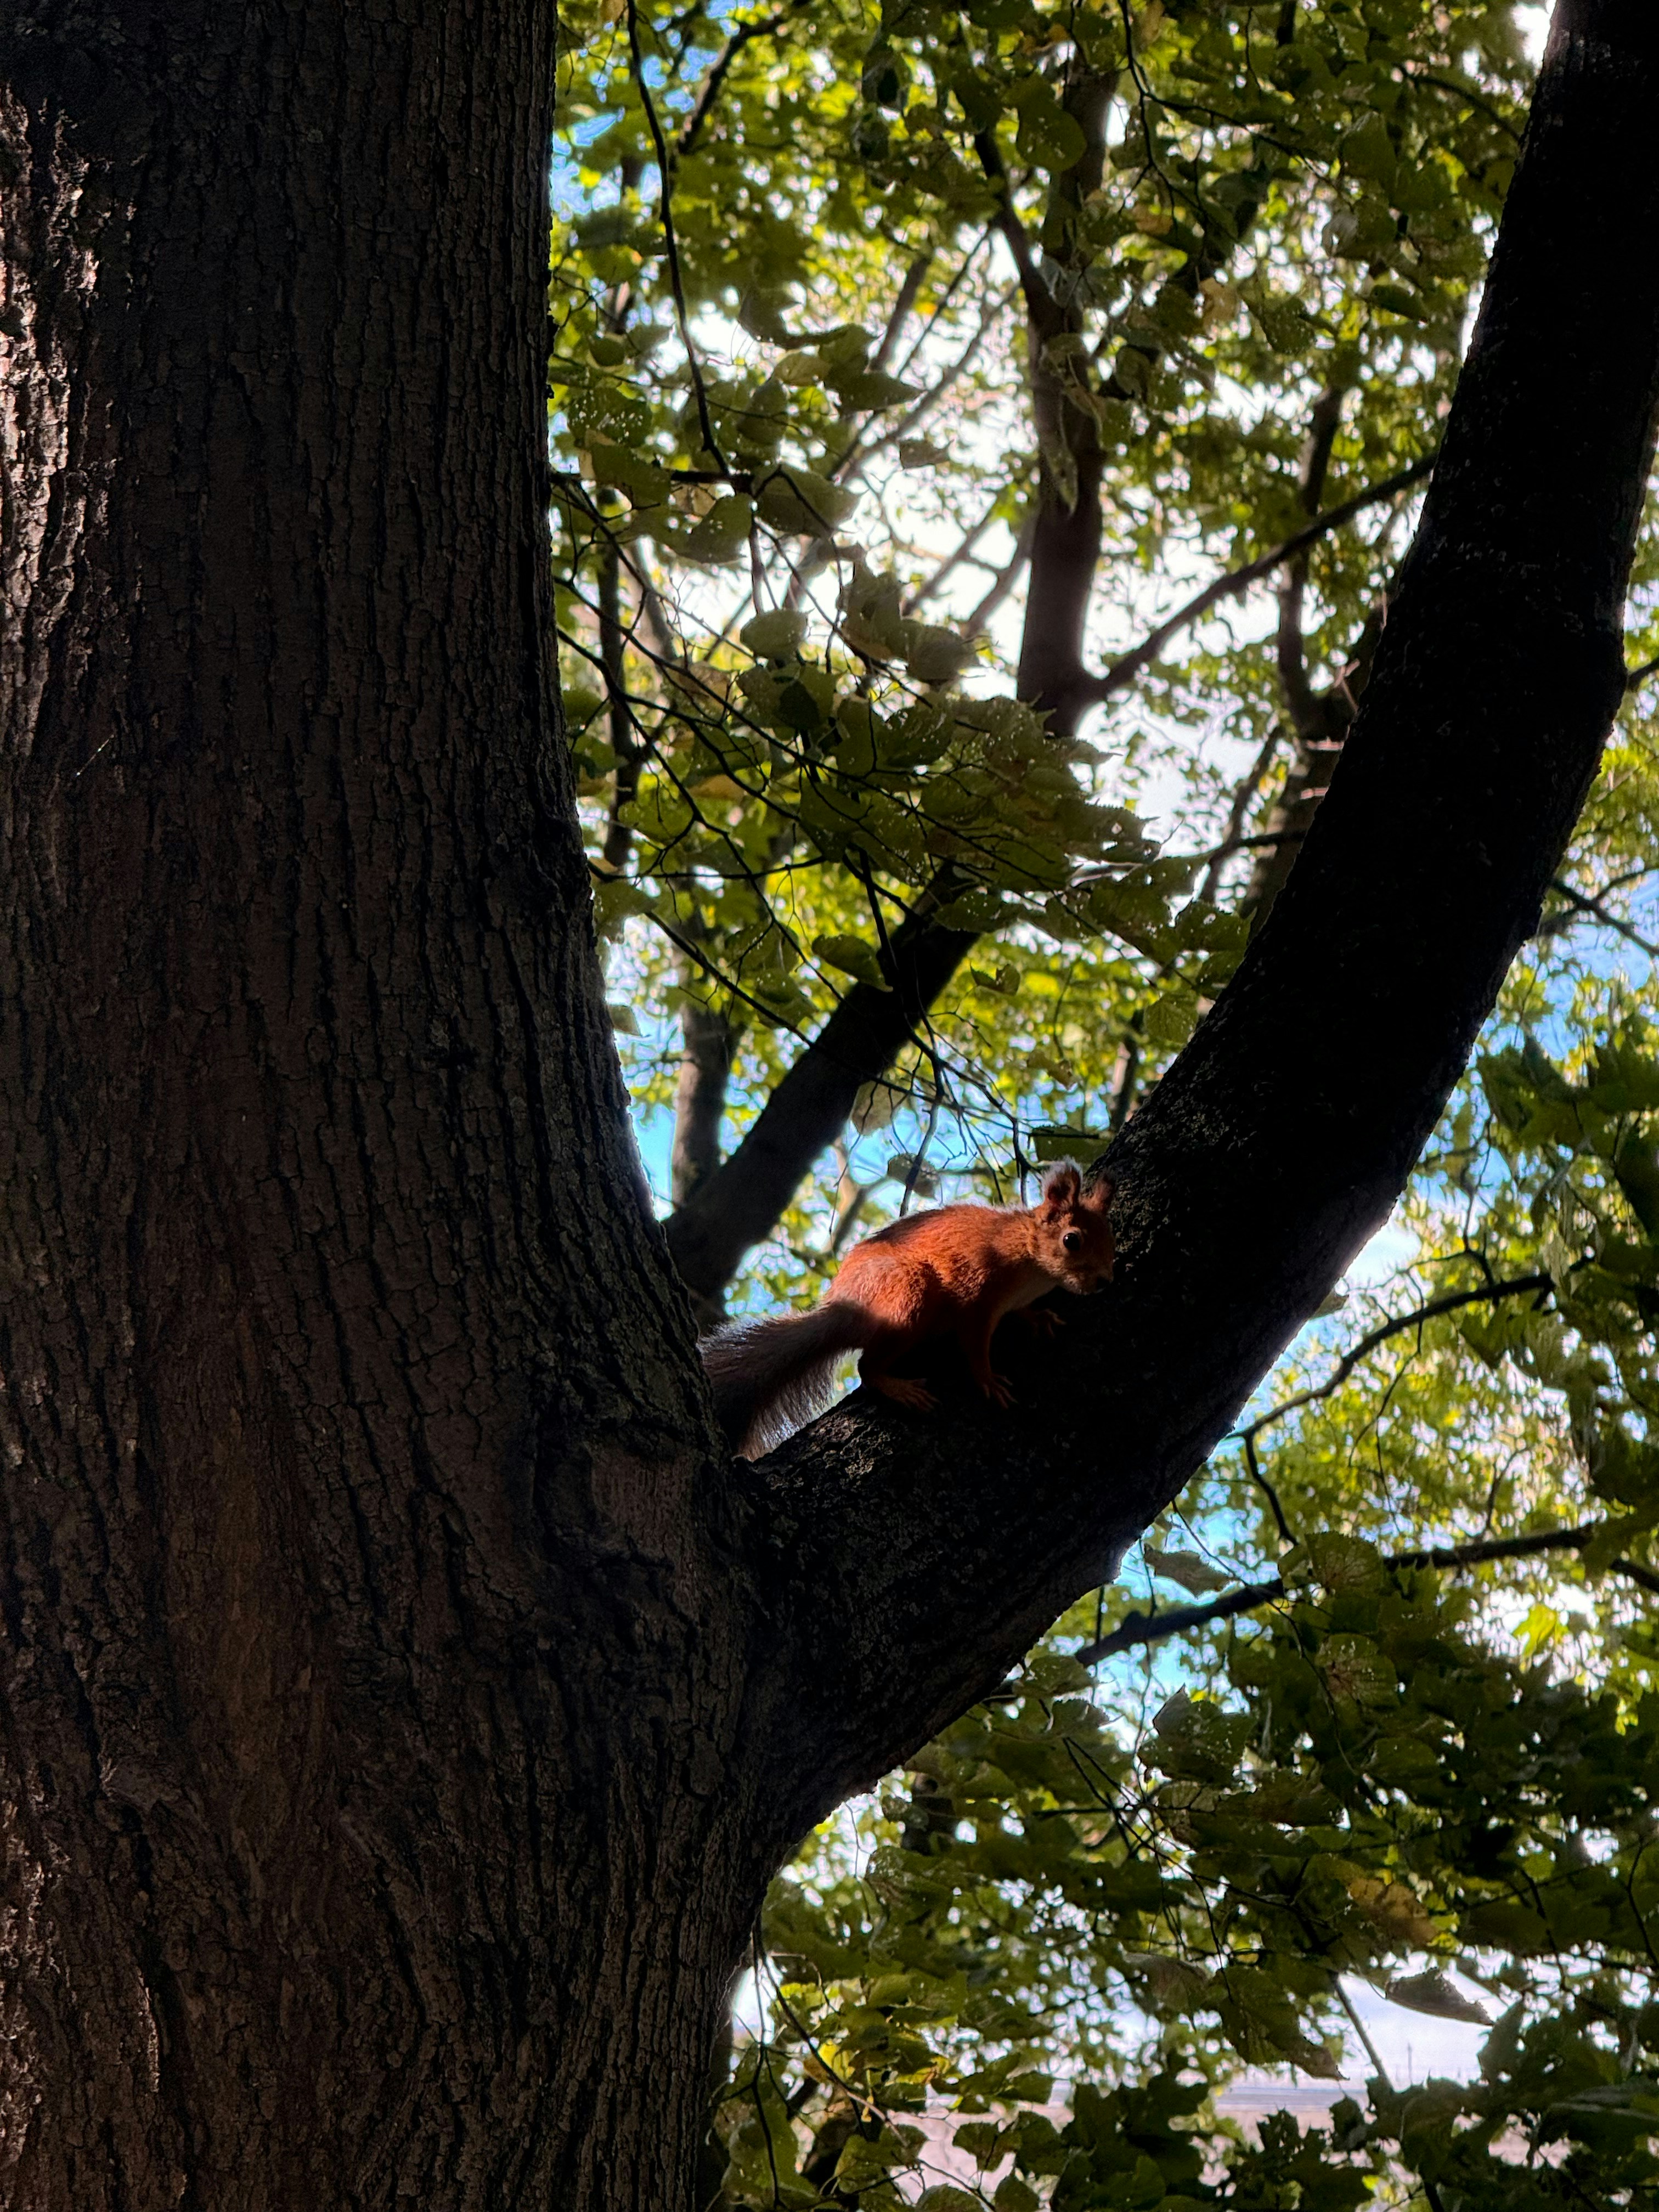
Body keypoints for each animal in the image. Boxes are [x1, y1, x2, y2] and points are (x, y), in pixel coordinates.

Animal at [700, 1161, 1114, 1459]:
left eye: (1110, 1239)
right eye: (1072, 1240)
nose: (1104, 1281)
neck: (1031, 1264)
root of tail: (845, 1308)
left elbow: (1022, 1312)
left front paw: (1039, 1318)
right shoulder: (979, 1295)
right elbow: (974, 1343)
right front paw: (988, 1379)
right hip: (908, 1296)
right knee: (866, 1365)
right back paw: (899, 1389)